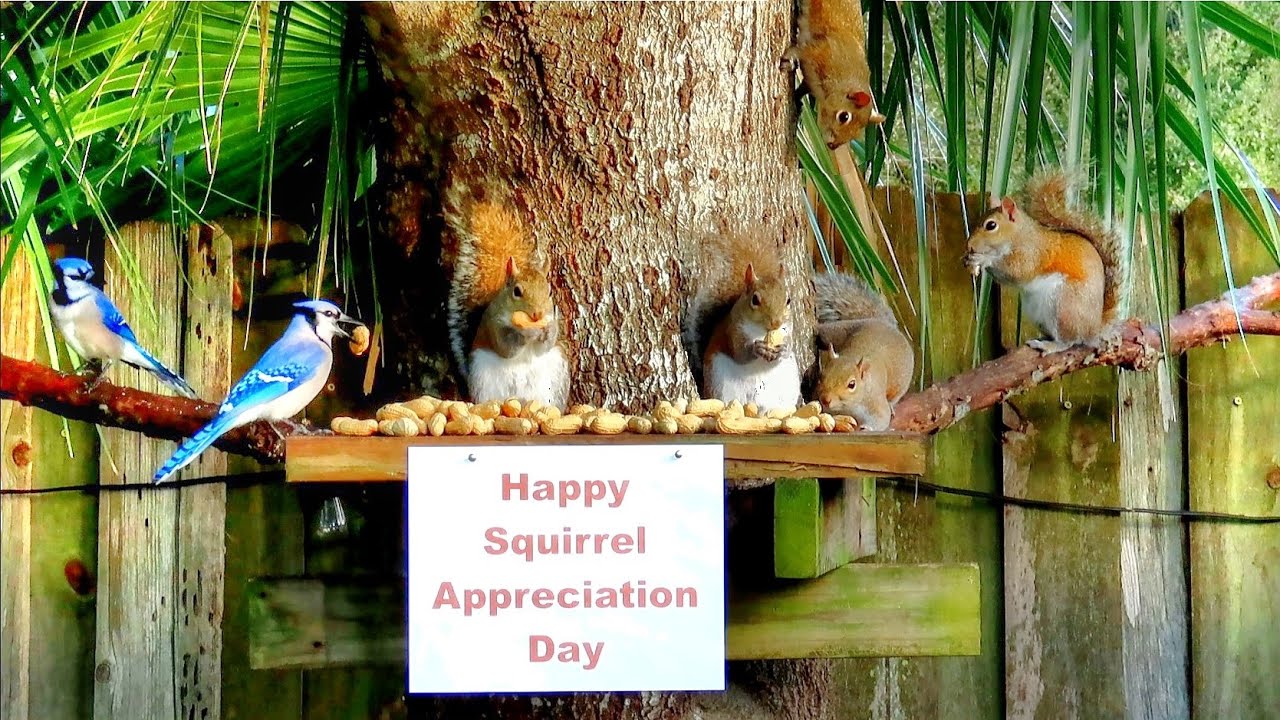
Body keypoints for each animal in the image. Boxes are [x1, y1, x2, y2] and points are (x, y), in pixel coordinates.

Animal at [445, 190, 571, 408]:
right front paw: (523, 334)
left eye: (549, 292)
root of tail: (520, 399)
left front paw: (547, 331)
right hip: (482, 377)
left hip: (556, 375)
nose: (537, 313)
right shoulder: (492, 325)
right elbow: (506, 347)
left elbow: (545, 346)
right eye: (517, 291)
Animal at [684, 229, 802, 413]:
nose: (776, 323)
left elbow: (789, 343)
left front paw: (783, 349)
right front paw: (757, 348)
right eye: (755, 300)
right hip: (720, 382)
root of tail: (756, 405)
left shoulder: (787, 329)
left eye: (788, 300)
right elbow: (739, 353)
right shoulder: (733, 330)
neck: (762, 331)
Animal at [783, 0, 887, 148]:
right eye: (844, 117)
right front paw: (789, 58)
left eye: (856, 134)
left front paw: (797, 99)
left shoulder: (811, 81)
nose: (832, 145)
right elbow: (801, 51)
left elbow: (803, 88)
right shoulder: (823, 52)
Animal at [811, 271, 913, 431]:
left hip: (900, 383)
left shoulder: (875, 402)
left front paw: (867, 428)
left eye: (852, 384)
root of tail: (880, 322)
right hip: (838, 331)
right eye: (820, 377)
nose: (825, 400)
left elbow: (881, 418)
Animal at [963, 168, 1130, 352]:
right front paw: (969, 260)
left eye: (991, 225)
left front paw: (984, 259)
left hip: (1065, 306)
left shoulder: (1034, 253)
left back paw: (1050, 346)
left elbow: (1017, 271)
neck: (1019, 235)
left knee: (1069, 341)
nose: (969, 245)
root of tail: (1094, 328)